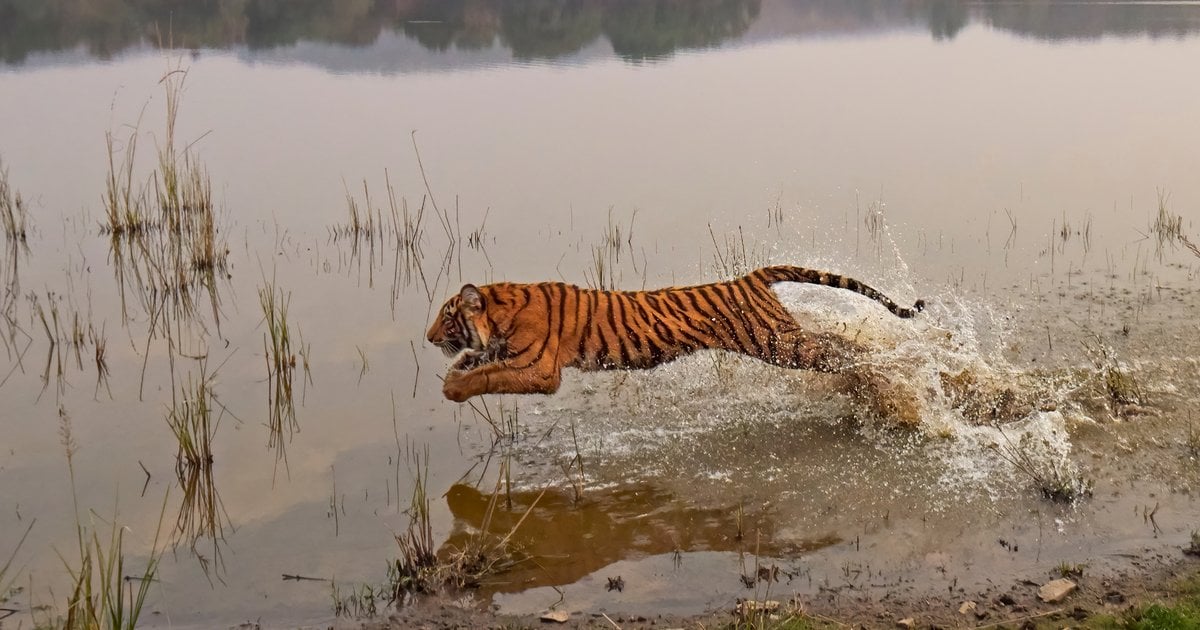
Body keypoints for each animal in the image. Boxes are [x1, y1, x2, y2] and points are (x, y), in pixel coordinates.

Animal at [427, 265, 925, 420]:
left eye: (447, 317)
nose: (429, 338)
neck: (501, 309)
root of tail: (752, 276)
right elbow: (480, 363)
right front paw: (454, 375)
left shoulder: (541, 369)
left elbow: (489, 377)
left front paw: (453, 389)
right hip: (783, 338)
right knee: (838, 343)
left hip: (777, 342)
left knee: (839, 349)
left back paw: (884, 373)